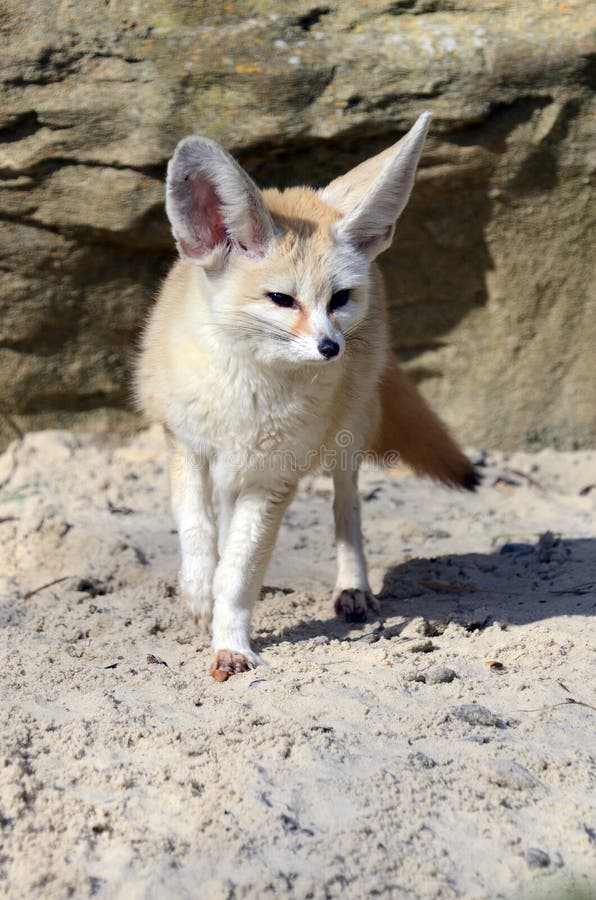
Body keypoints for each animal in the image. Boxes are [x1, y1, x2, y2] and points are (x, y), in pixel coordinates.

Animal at [135, 111, 478, 680]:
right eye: (281, 299)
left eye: (339, 299)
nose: (330, 347)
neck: (249, 391)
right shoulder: (187, 446)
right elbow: (199, 535)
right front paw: (198, 594)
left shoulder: (275, 477)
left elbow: (241, 571)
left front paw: (231, 644)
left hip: (346, 435)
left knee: (347, 508)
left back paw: (353, 587)